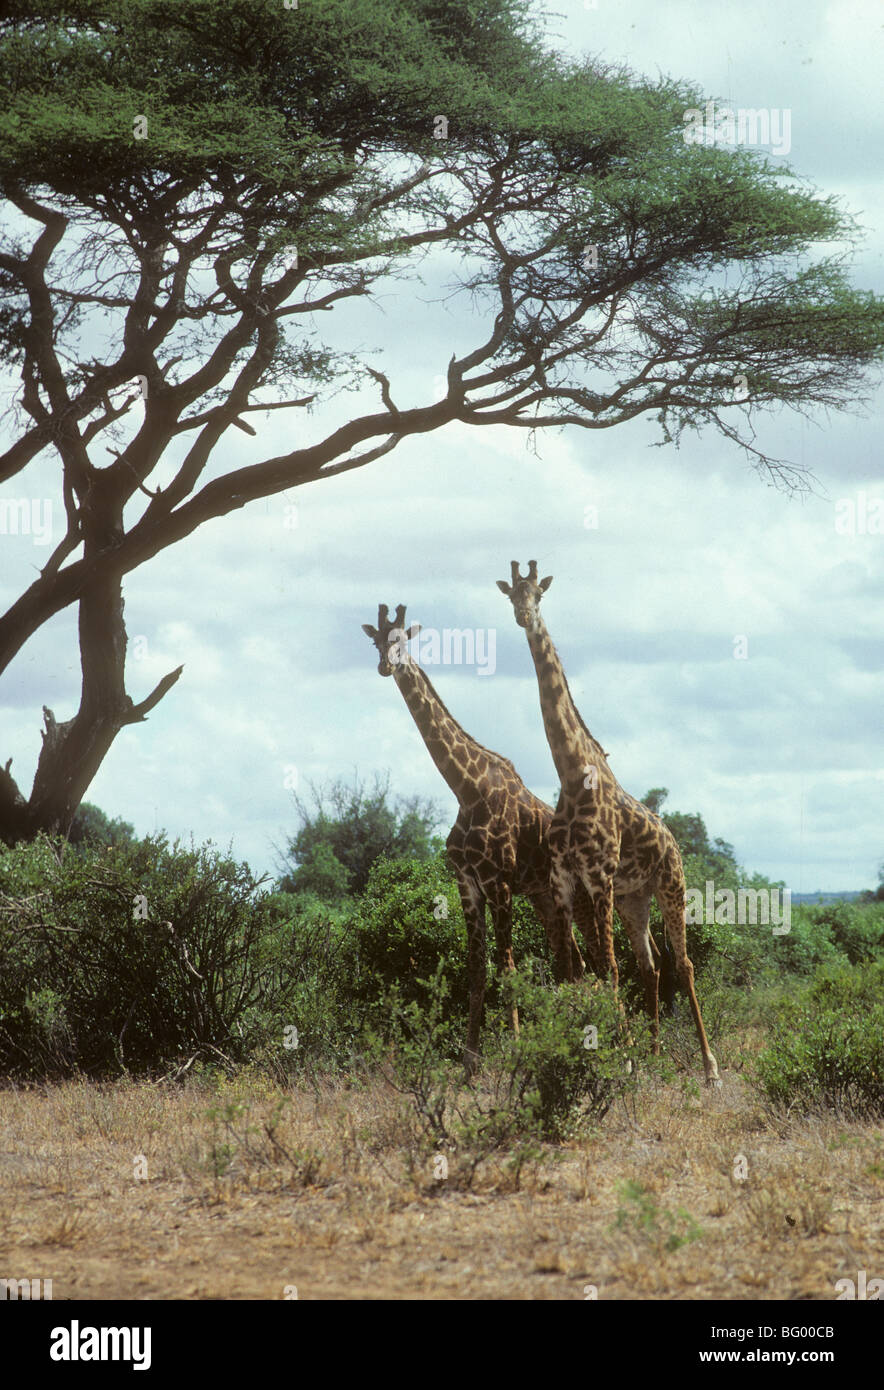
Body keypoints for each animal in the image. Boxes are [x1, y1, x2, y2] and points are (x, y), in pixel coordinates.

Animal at [362, 603, 604, 1076]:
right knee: (576, 966)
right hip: (545, 900)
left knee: (594, 965)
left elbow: (508, 969)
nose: (385, 666)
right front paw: (470, 1063)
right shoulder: (468, 884)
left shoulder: (500, 883)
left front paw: (517, 1052)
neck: (466, 788)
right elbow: (477, 968)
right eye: (377, 641)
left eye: (402, 640)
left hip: (578, 897)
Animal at [496, 562, 720, 1085]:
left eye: (538, 594)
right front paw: (581, 1045)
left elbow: (608, 968)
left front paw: (623, 1055)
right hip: (633, 900)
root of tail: (674, 841)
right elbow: (574, 967)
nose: (523, 616)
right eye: (511, 594)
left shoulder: (597, 877)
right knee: (651, 964)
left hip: (671, 886)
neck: (573, 775)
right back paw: (657, 1051)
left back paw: (709, 1065)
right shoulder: (564, 879)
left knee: (684, 963)